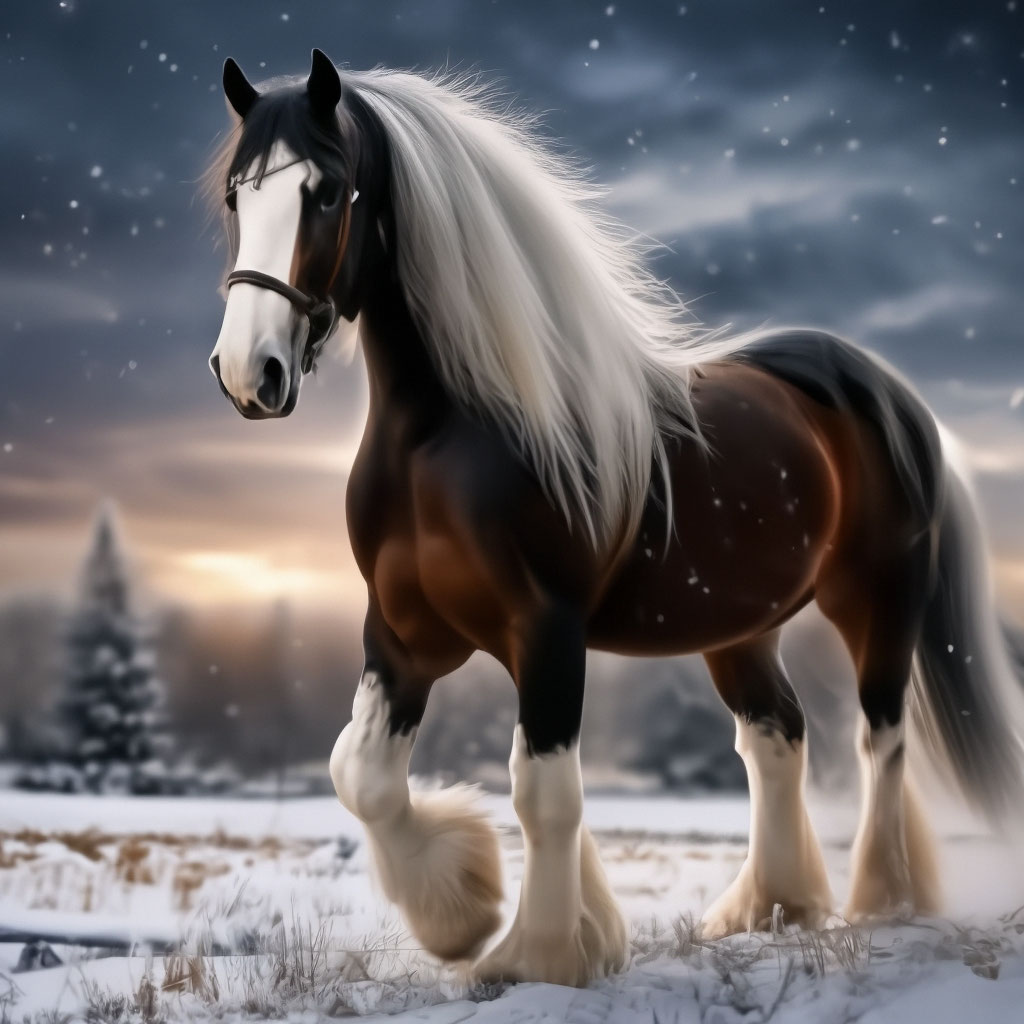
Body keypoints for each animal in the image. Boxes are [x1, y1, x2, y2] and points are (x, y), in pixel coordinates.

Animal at [206, 50, 1024, 987]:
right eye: (236, 196)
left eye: (330, 191)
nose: (250, 371)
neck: (450, 436)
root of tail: (887, 390)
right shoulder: (404, 632)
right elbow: (360, 772)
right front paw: (467, 912)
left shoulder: (547, 630)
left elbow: (543, 790)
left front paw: (539, 954)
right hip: (741, 628)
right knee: (777, 737)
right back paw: (769, 909)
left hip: (877, 602)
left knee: (879, 740)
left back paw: (882, 902)